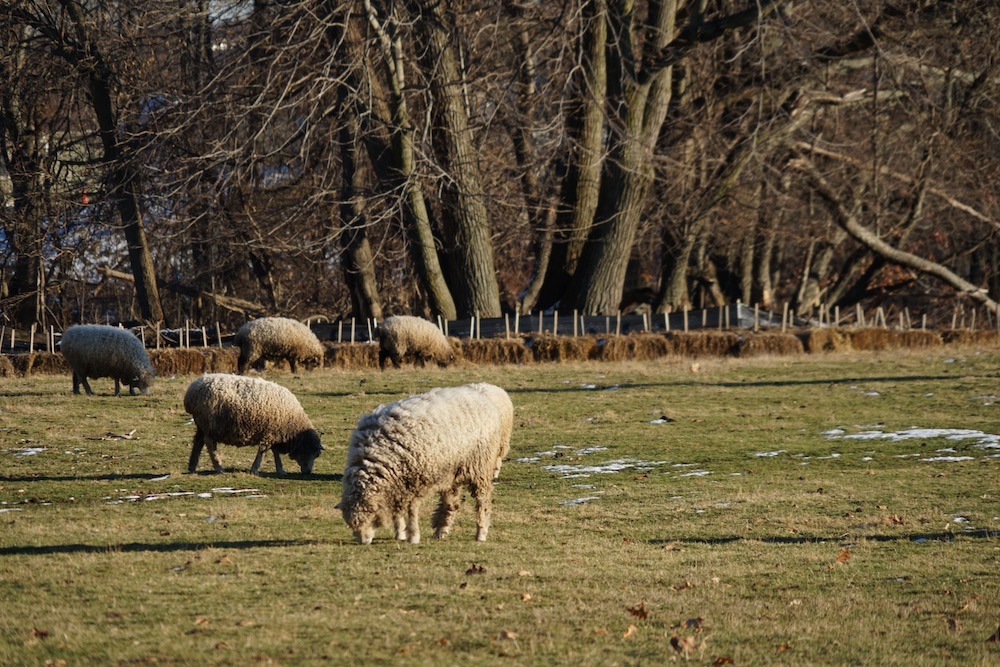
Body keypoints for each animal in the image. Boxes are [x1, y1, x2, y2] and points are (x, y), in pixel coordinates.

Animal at [184, 373, 323, 475]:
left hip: (201, 425)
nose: (308, 472)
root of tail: (191, 392)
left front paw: (280, 470)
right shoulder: (270, 434)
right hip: (209, 425)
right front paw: (255, 469)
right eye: (313, 453)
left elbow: (275, 452)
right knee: (210, 444)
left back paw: (192, 467)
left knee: (198, 443)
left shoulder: (274, 434)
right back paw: (219, 467)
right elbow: (263, 451)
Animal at [337, 382, 513, 544]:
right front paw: (400, 533)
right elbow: (398, 510)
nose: (363, 542)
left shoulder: (415, 481)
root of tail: (480, 394)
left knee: (482, 500)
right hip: (453, 470)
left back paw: (481, 533)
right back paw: (441, 530)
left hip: (480, 467)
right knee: (451, 501)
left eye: (370, 517)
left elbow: (412, 510)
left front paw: (413, 536)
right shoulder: (399, 484)